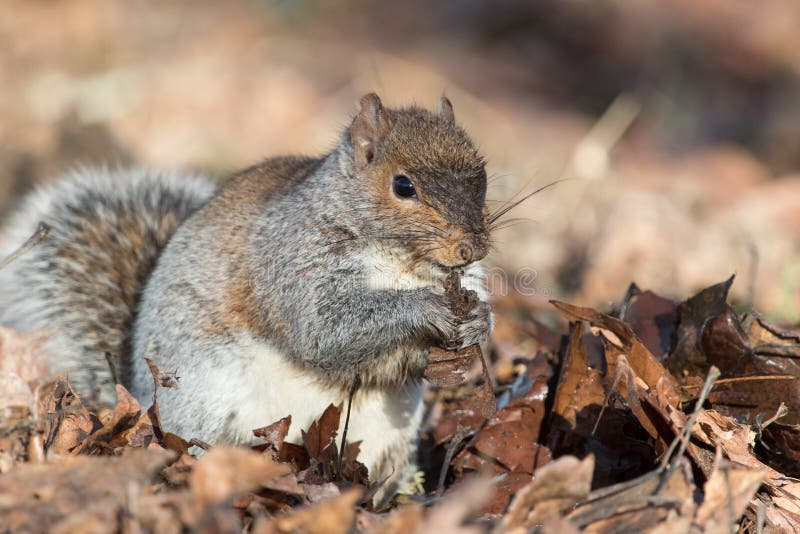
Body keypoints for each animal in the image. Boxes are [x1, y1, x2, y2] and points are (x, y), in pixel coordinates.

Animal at [0, 94, 492, 500]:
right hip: (210, 397)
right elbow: (325, 332)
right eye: (403, 186)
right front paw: (426, 309)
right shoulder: (291, 267)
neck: (404, 264)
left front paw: (479, 322)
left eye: (482, 177)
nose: (471, 248)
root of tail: (140, 399)